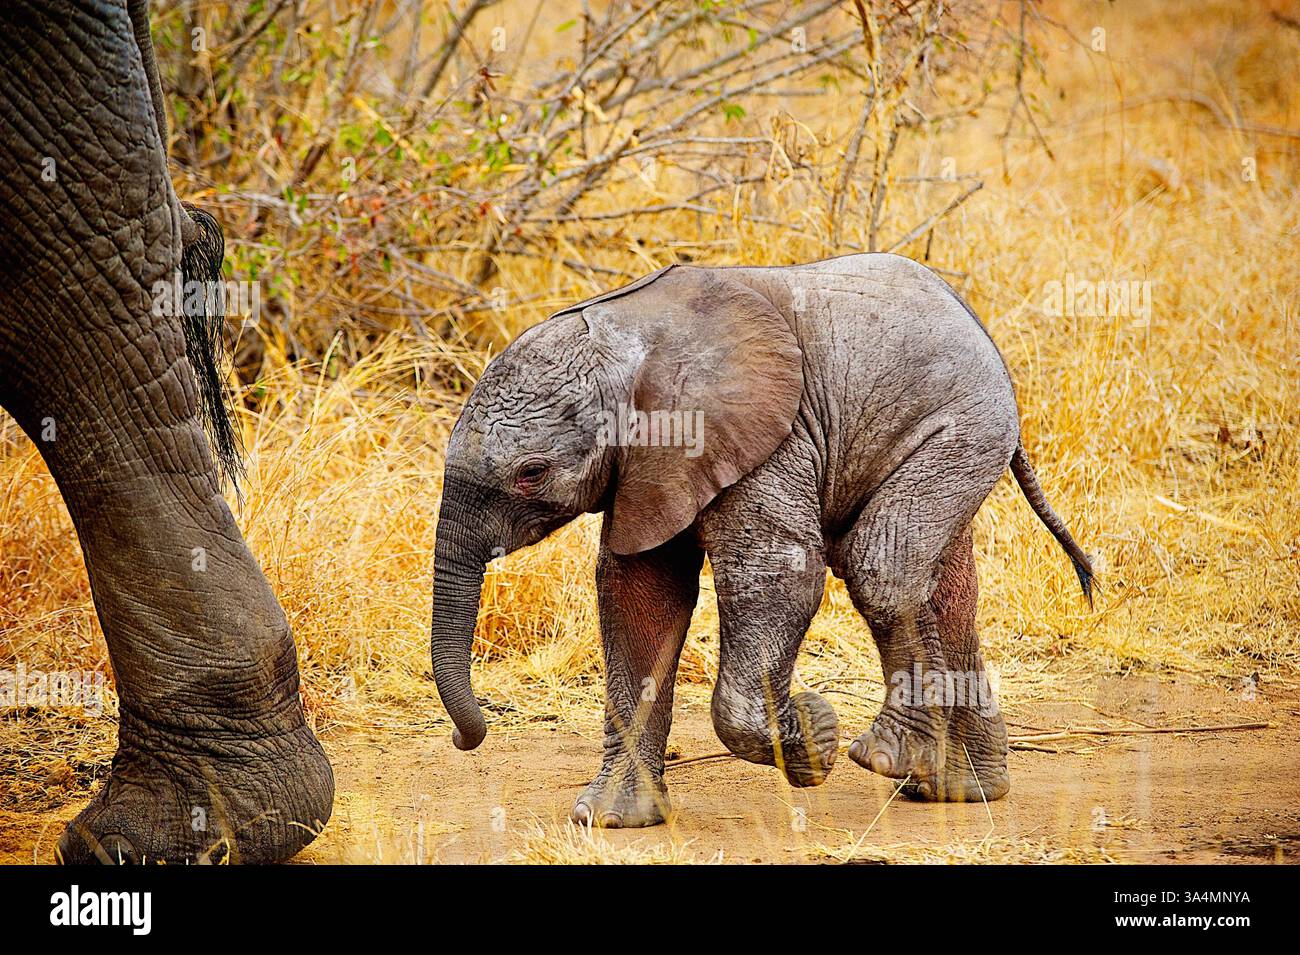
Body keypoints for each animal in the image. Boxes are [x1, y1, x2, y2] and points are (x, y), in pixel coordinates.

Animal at [431, 253, 1092, 827]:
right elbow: (639, 597)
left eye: (531, 472)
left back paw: (887, 757)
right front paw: (610, 820)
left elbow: (776, 577)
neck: (622, 340)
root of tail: (971, 315)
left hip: (963, 424)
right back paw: (960, 791)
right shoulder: (648, 463)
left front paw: (817, 738)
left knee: (880, 566)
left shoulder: (767, 436)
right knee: (945, 591)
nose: (466, 738)